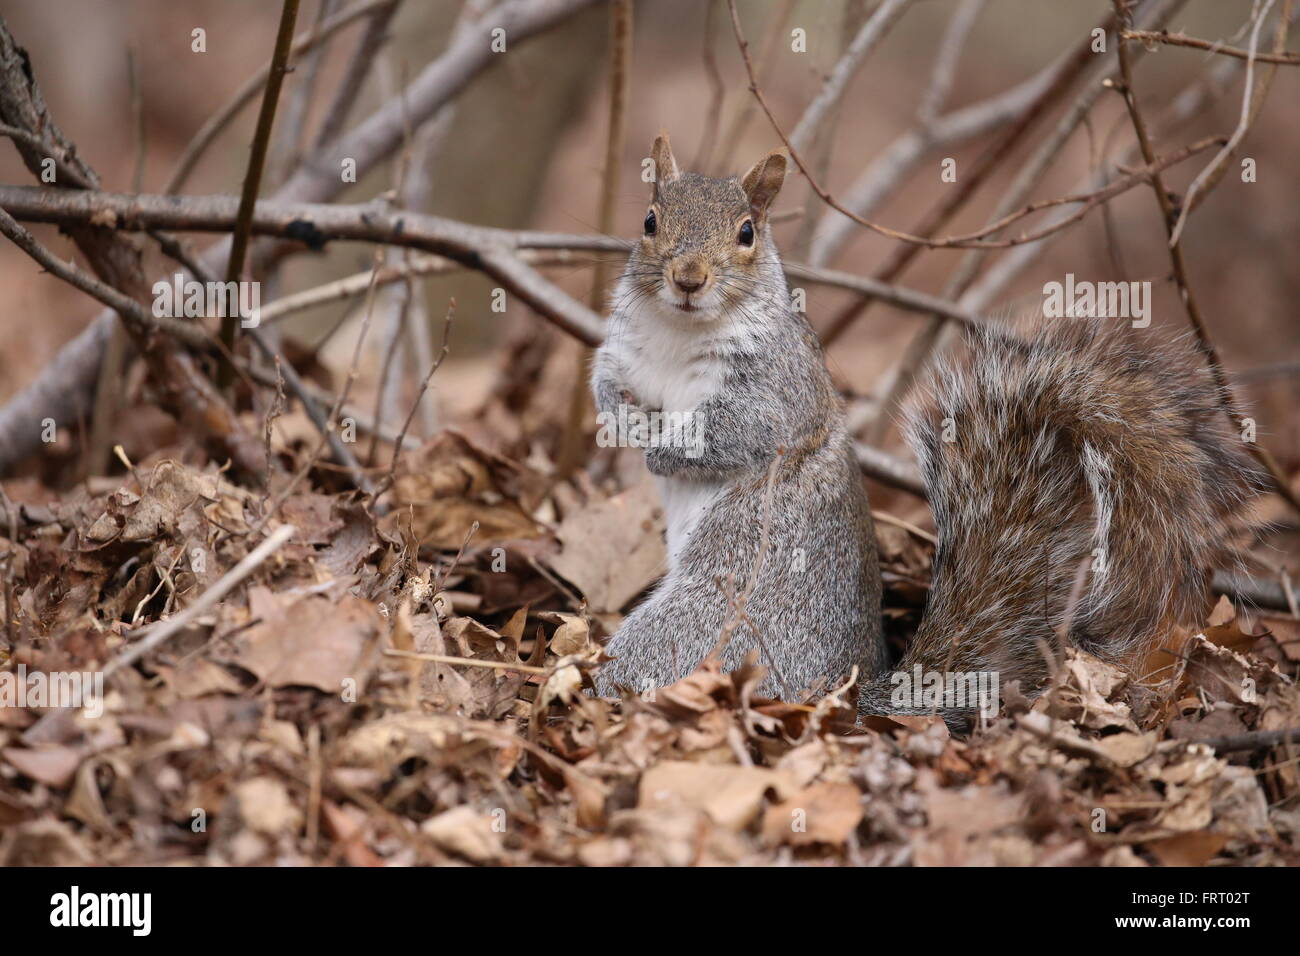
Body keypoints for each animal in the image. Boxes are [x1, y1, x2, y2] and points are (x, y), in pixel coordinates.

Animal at [590, 133, 1259, 729]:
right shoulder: (623, 351)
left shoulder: (777, 389)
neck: (680, 334)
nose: (688, 278)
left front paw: (661, 452)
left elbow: (737, 433)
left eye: (747, 232)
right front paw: (620, 419)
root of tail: (838, 697)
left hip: (715, 617)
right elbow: (606, 384)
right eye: (649, 220)